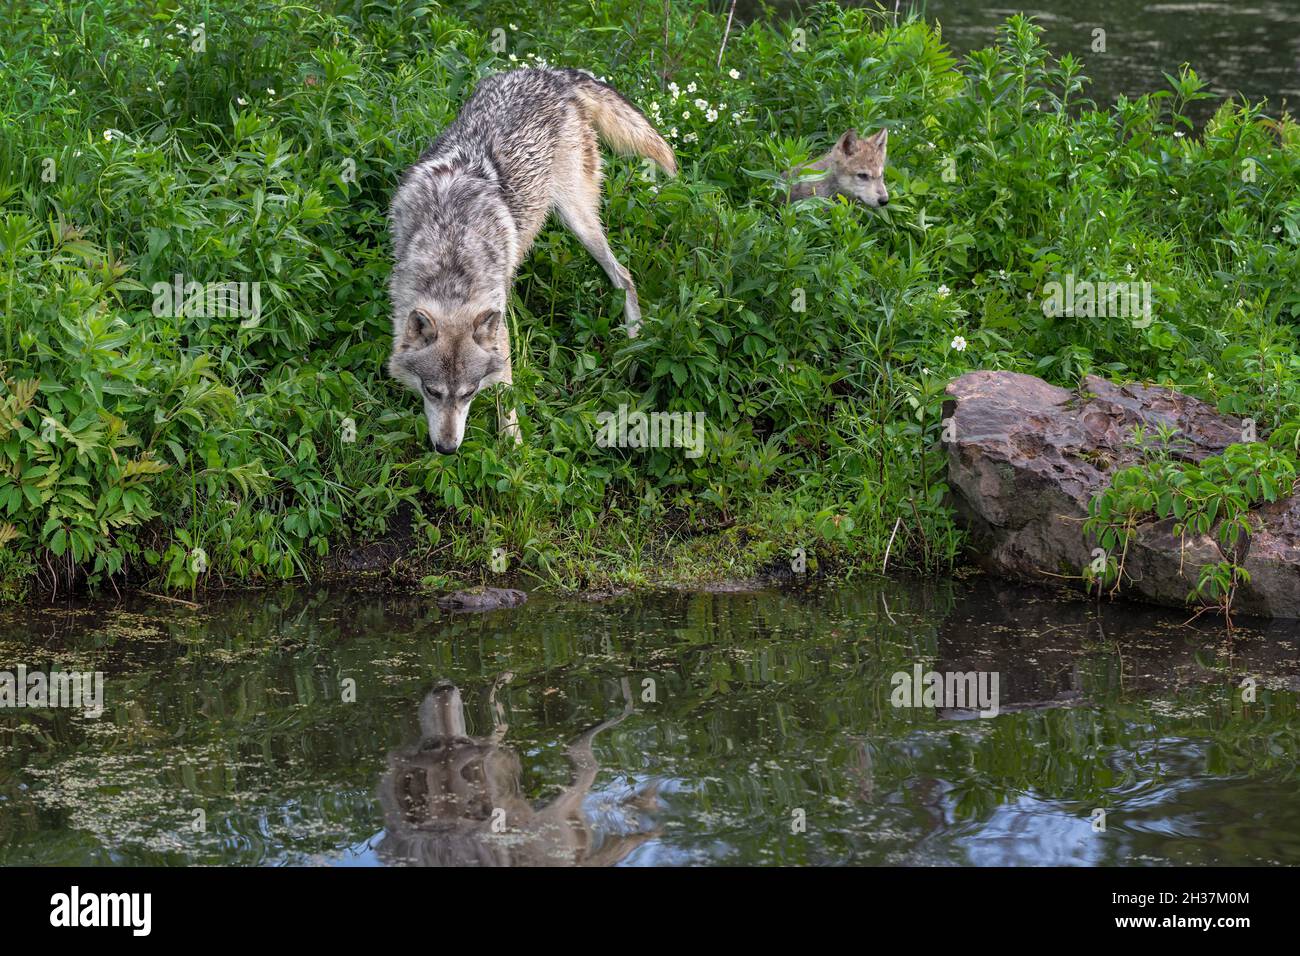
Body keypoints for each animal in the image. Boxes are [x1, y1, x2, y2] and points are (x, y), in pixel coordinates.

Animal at [388, 68, 676, 454]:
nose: (447, 449)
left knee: (624, 275)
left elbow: (506, 389)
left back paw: (633, 340)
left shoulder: (499, 326)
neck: (451, 254)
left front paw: (513, 444)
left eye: (469, 393)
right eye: (431, 392)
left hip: (578, 220)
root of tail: (554, 73)